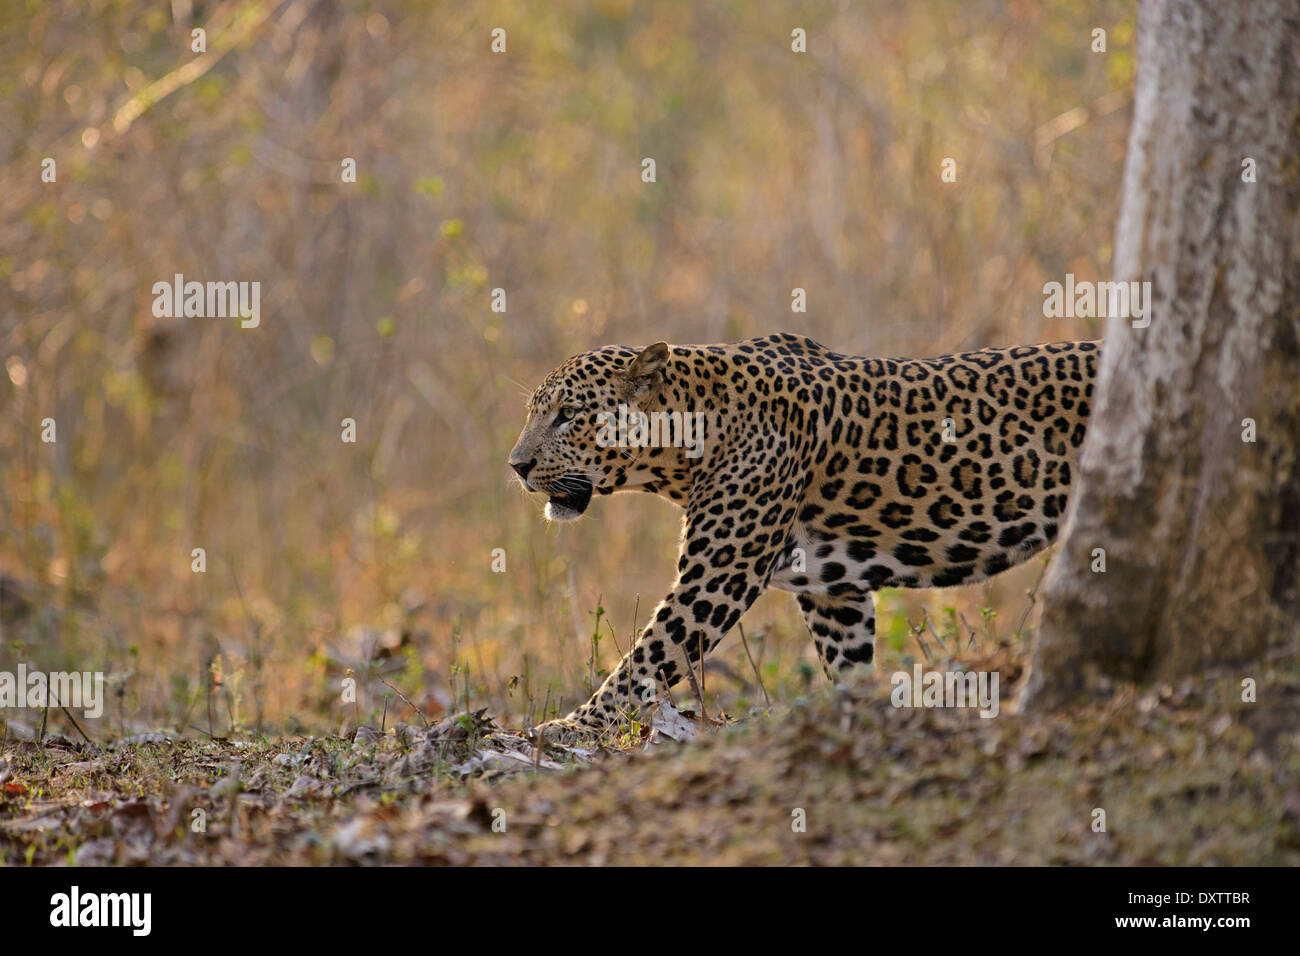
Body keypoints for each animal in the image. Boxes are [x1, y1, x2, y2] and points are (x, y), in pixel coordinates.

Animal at [508, 333, 1099, 740]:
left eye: (568, 415)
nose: (517, 466)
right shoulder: (831, 589)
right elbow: (849, 662)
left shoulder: (716, 579)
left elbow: (643, 661)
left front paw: (570, 728)